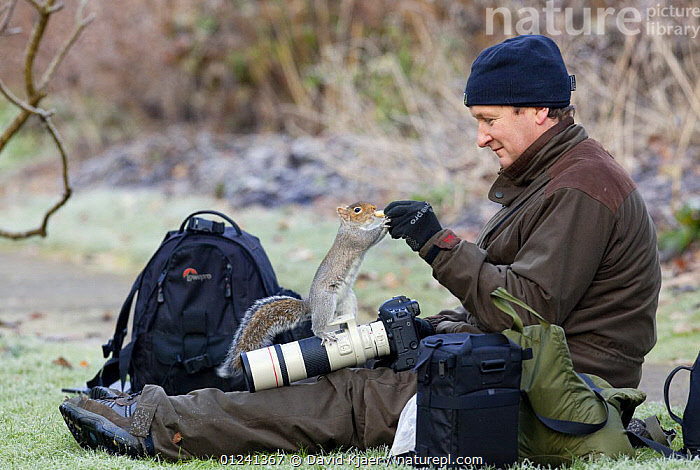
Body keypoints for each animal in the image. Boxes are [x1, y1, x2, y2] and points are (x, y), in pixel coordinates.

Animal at [217, 202, 388, 377]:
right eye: (357, 210)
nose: (374, 208)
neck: (351, 226)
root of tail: (311, 304)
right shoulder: (353, 238)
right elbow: (370, 238)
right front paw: (384, 223)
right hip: (326, 302)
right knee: (317, 326)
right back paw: (324, 334)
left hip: (348, 300)